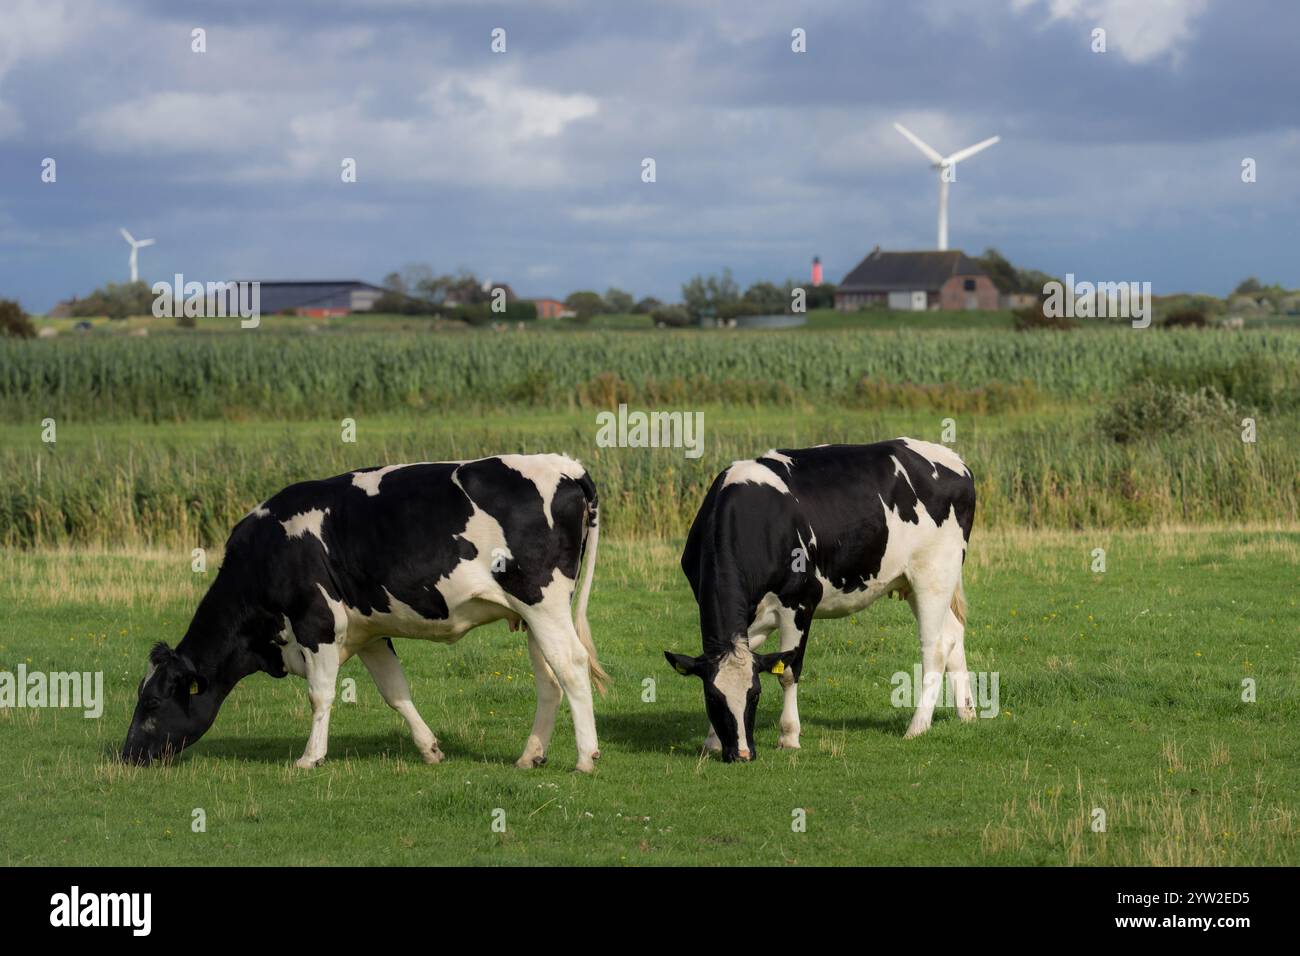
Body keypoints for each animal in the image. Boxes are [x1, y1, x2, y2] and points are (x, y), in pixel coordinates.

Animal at [122, 454, 607, 772]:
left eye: (152, 701)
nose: (126, 755)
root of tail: (565, 465)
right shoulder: (371, 632)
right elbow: (396, 692)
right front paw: (429, 749)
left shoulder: (316, 624)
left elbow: (320, 695)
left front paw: (310, 757)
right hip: (533, 615)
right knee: (550, 680)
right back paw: (530, 755)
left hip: (543, 602)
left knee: (572, 665)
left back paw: (585, 757)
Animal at [665, 439, 975, 762]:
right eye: (712, 697)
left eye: (755, 695)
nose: (742, 754)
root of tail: (954, 459)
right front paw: (713, 740)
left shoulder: (801, 602)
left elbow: (788, 672)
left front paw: (789, 736)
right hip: (914, 582)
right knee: (953, 634)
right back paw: (966, 713)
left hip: (934, 574)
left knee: (935, 648)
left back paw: (917, 726)